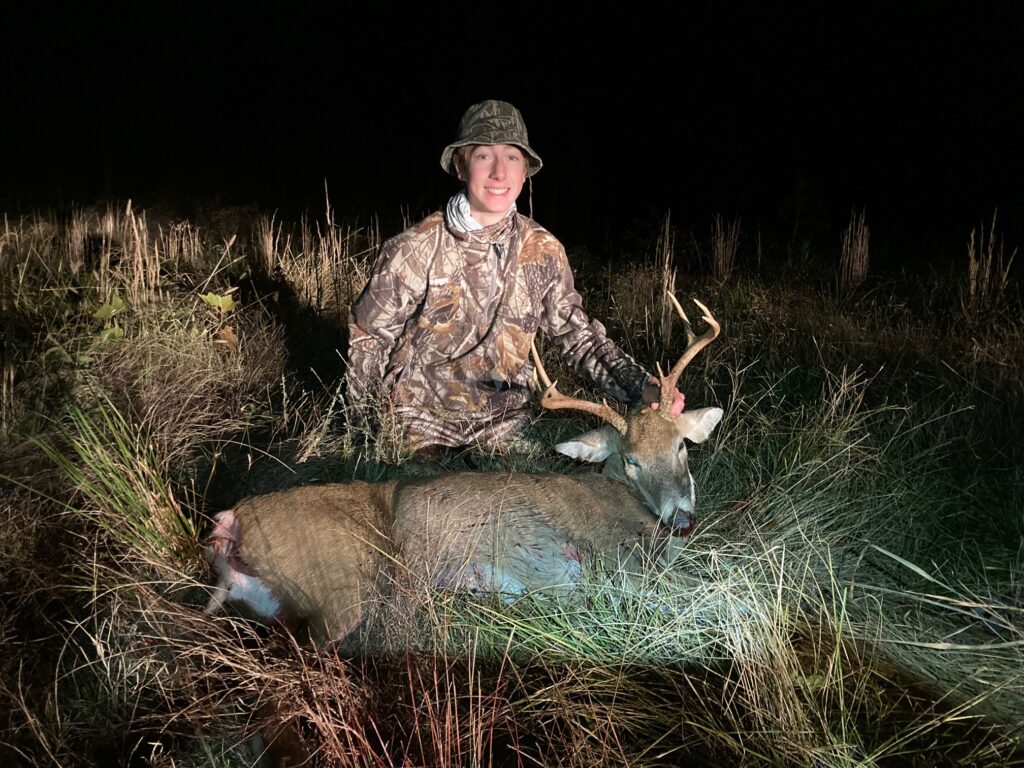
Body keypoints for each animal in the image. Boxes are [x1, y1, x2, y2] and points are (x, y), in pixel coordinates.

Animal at [203, 295, 723, 646]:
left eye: (681, 444)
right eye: (631, 460)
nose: (682, 520)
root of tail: (229, 522)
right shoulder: (619, 556)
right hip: (344, 586)